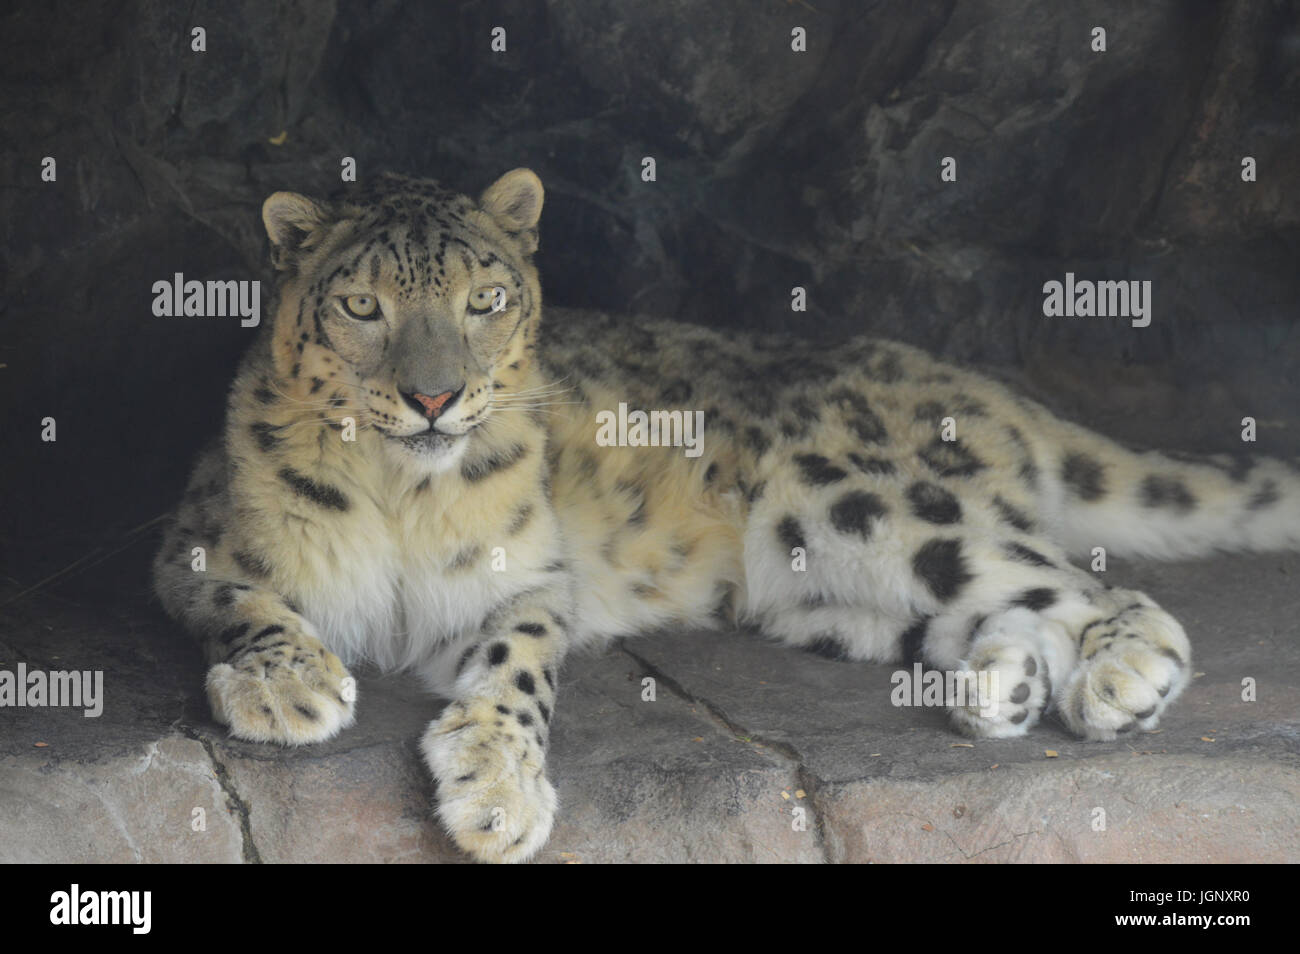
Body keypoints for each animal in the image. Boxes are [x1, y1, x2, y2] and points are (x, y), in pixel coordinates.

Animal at [153, 168, 1300, 863]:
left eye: (485, 299)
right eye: (362, 306)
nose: (434, 397)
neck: (402, 496)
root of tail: (959, 374)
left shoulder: (529, 579)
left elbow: (518, 667)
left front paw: (497, 792)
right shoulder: (190, 543)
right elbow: (240, 601)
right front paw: (289, 686)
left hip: (865, 504)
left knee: (1093, 586)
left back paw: (1115, 677)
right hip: (823, 595)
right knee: (1001, 609)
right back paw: (998, 687)